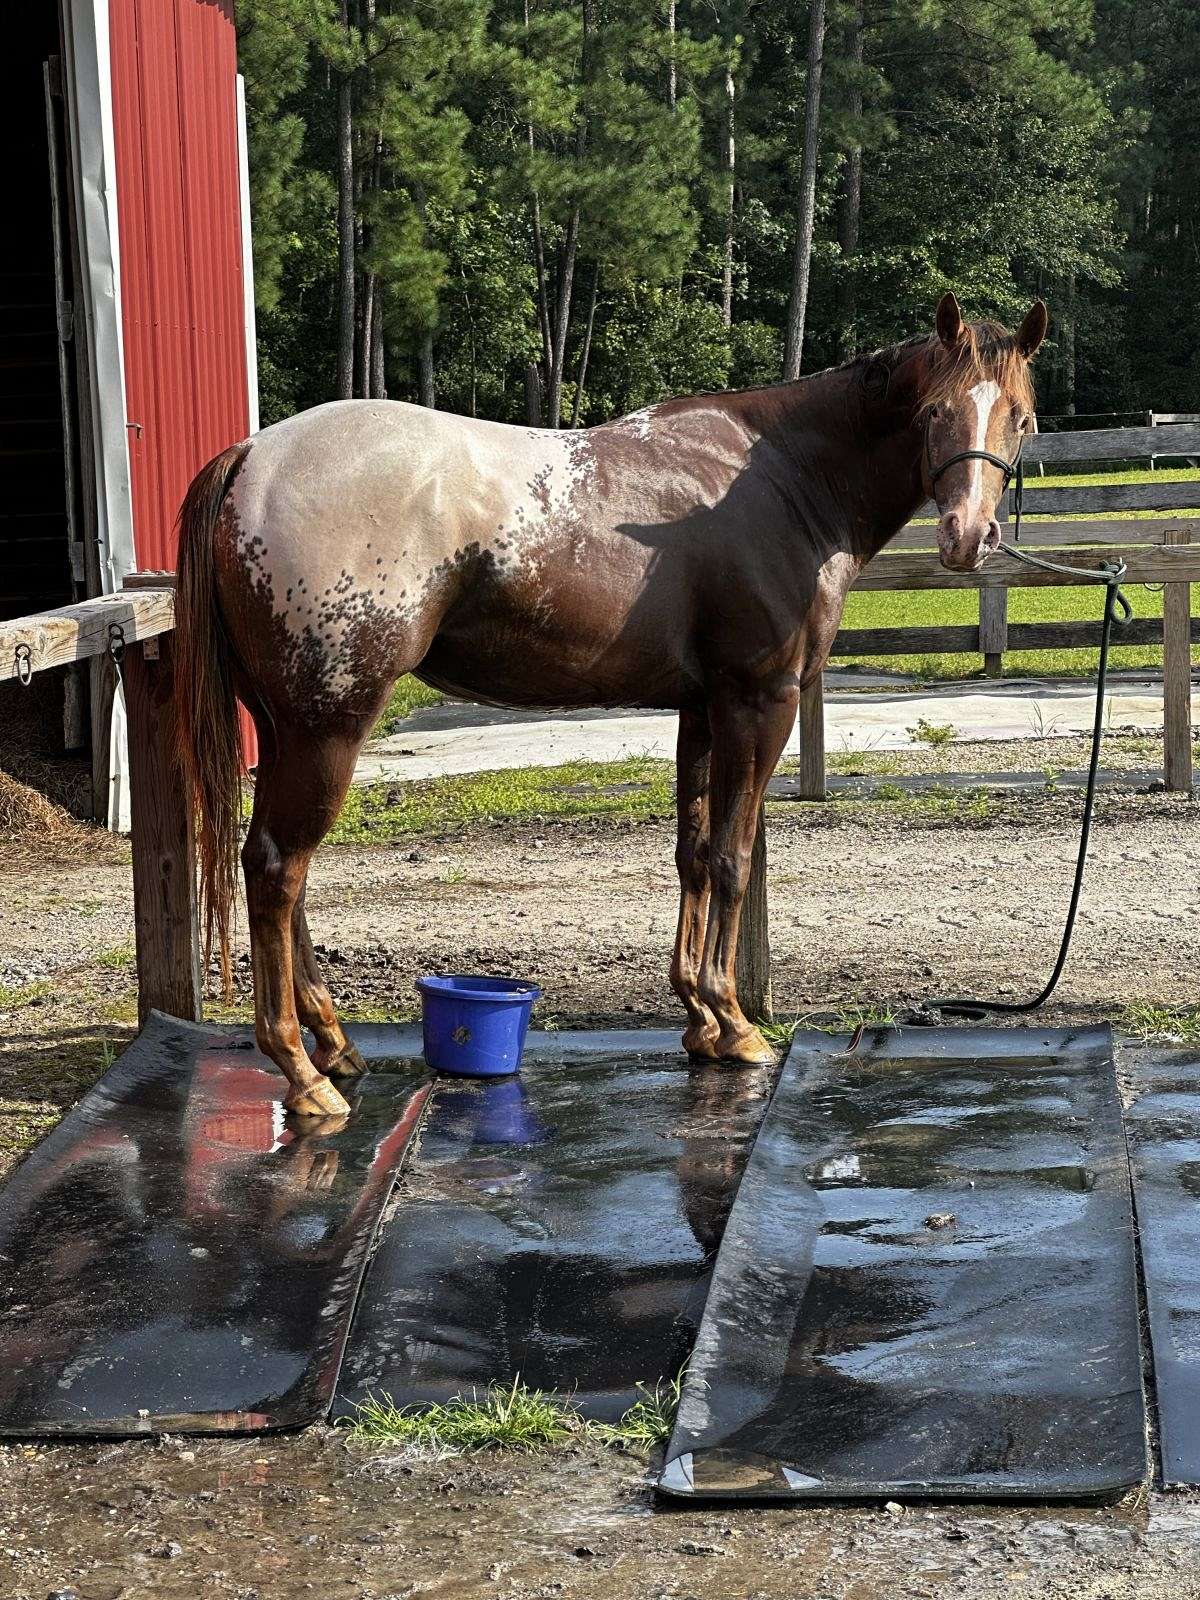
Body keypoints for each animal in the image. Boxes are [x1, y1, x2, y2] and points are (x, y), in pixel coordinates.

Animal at [174, 291, 1047, 1117]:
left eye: (1022, 417)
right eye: (933, 413)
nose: (968, 537)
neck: (782, 478)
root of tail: (254, 456)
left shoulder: (702, 709)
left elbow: (693, 854)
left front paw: (700, 1018)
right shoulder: (759, 703)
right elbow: (731, 860)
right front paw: (737, 1025)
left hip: (290, 728)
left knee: (284, 878)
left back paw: (332, 1044)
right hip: (330, 727)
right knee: (278, 869)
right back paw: (301, 1071)